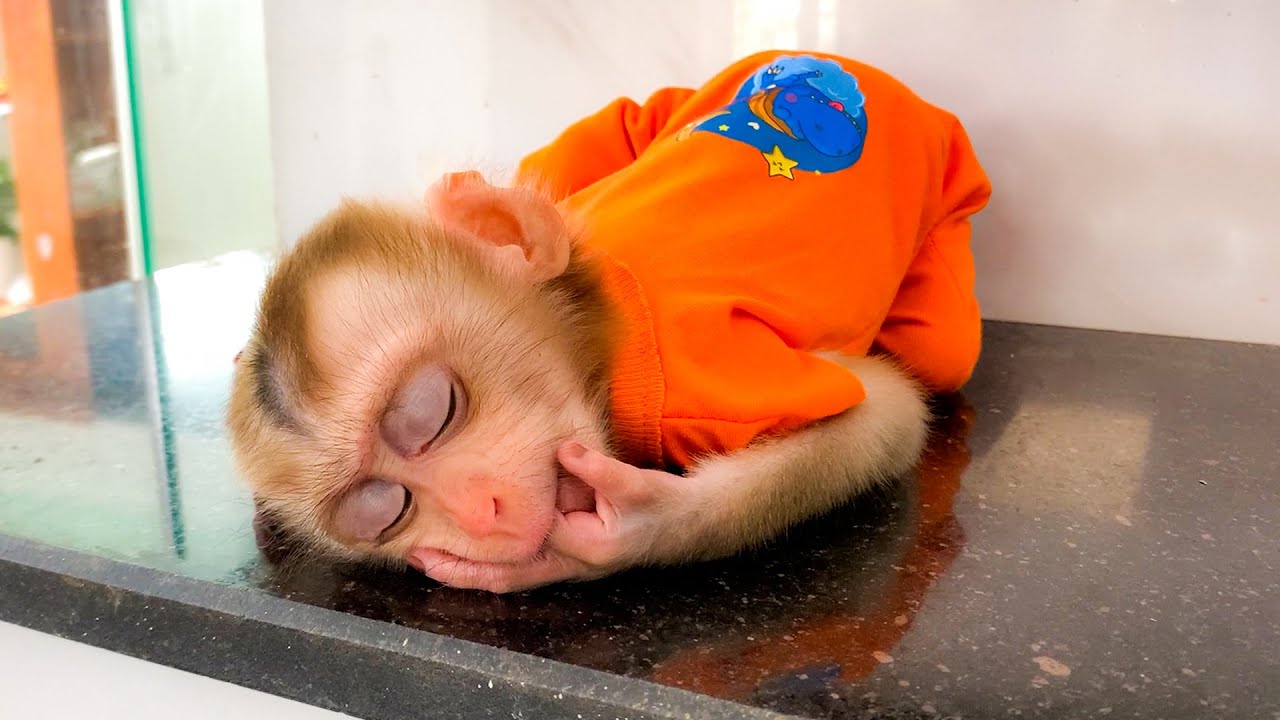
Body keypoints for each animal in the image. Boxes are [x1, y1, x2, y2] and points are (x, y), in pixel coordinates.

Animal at [227, 51, 991, 593]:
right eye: (387, 509)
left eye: (433, 411)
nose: (481, 513)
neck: (605, 323)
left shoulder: (708, 379)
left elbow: (884, 412)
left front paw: (647, 525)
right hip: (654, 111)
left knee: (943, 349)